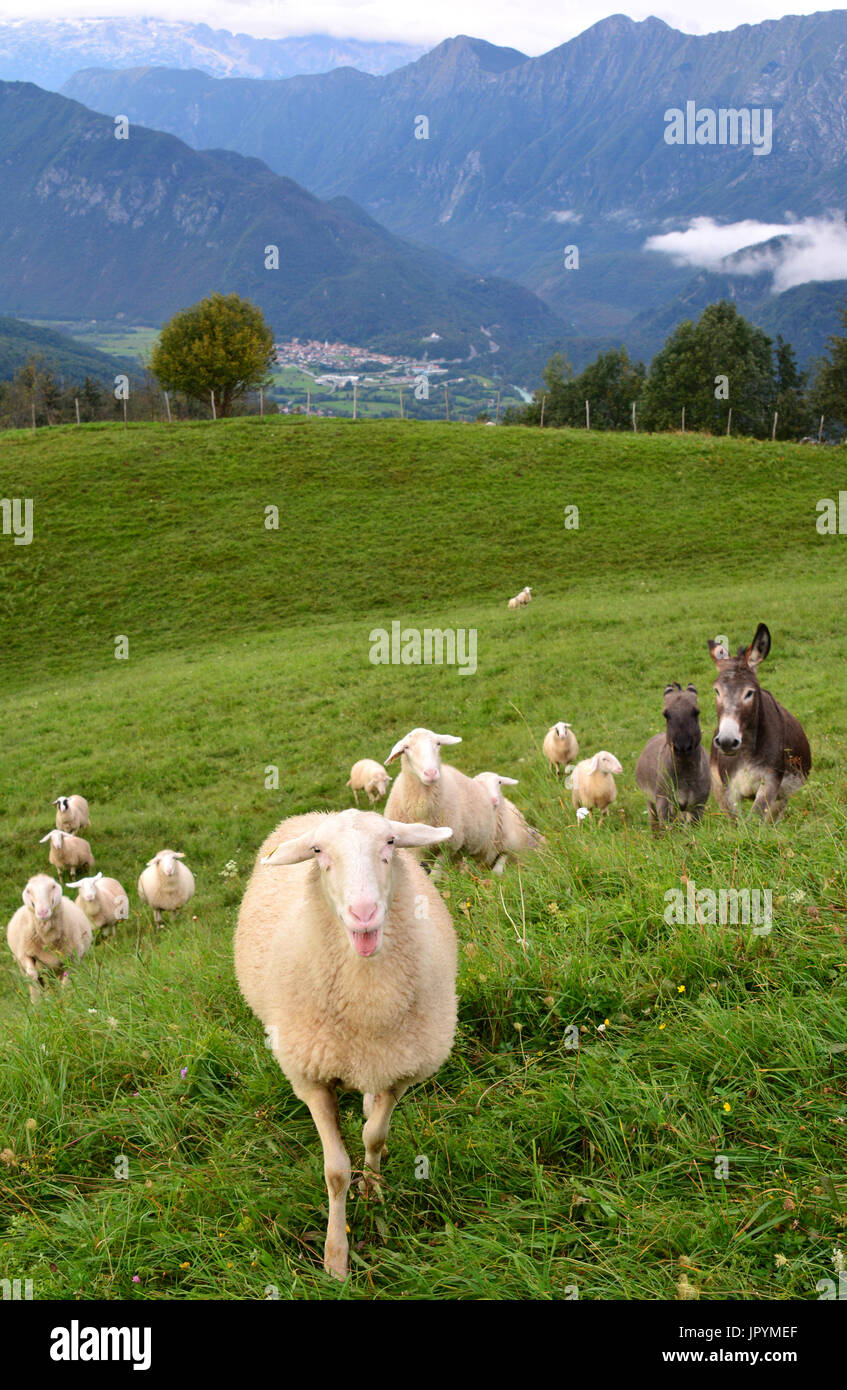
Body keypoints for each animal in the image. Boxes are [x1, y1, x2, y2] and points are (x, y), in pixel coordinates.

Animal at [6, 873, 92, 1002]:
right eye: (28, 890)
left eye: (53, 886)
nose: (43, 912)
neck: (47, 937)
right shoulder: (24, 954)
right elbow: (32, 975)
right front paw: (37, 1002)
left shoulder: (73, 959)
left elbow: (66, 982)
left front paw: (67, 1000)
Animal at [234, 808, 457, 1281]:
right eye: (319, 852)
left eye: (390, 842)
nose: (363, 912)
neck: (368, 1004)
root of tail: (312, 814)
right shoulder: (311, 1078)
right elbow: (335, 1171)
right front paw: (336, 1258)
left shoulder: (399, 1070)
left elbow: (375, 1136)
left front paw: (373, 1192)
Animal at [384, 727, 495, 863]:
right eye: (406, 747)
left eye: (438, 743)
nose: (431, 773)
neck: (421, 810)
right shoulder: (414, 851)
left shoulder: (448, 847)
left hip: (480, 849)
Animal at [635, 683, 711, 832]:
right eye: (666, 715)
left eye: (696, 712)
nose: (682, 747)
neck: (686, 774)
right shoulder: (664, 802)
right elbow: (669, 830)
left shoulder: (697, 805)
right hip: (651, 802)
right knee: (654, 824)